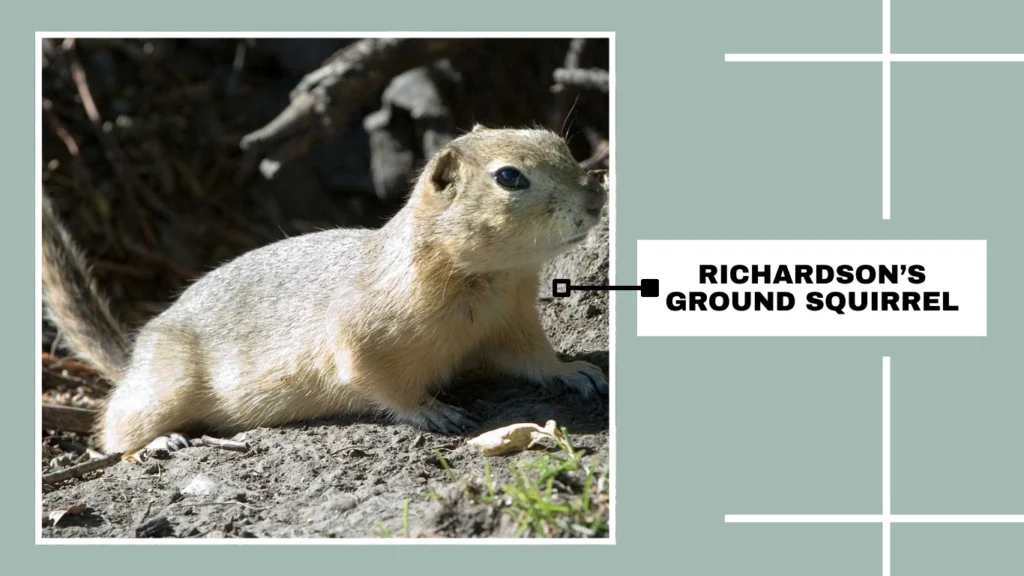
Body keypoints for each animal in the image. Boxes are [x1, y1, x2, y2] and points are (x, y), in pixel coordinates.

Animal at [41, 125, 609, 456]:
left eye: (557, 141)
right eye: (509, 177)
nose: (596, 198)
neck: (491, 280)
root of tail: (133, 357)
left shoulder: (513, 323)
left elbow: (534, 360)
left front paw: (574, 371)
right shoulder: (361, 337)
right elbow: (375, 379)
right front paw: (432, 410)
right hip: (164, 388)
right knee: (113, 430)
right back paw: (159, 442)